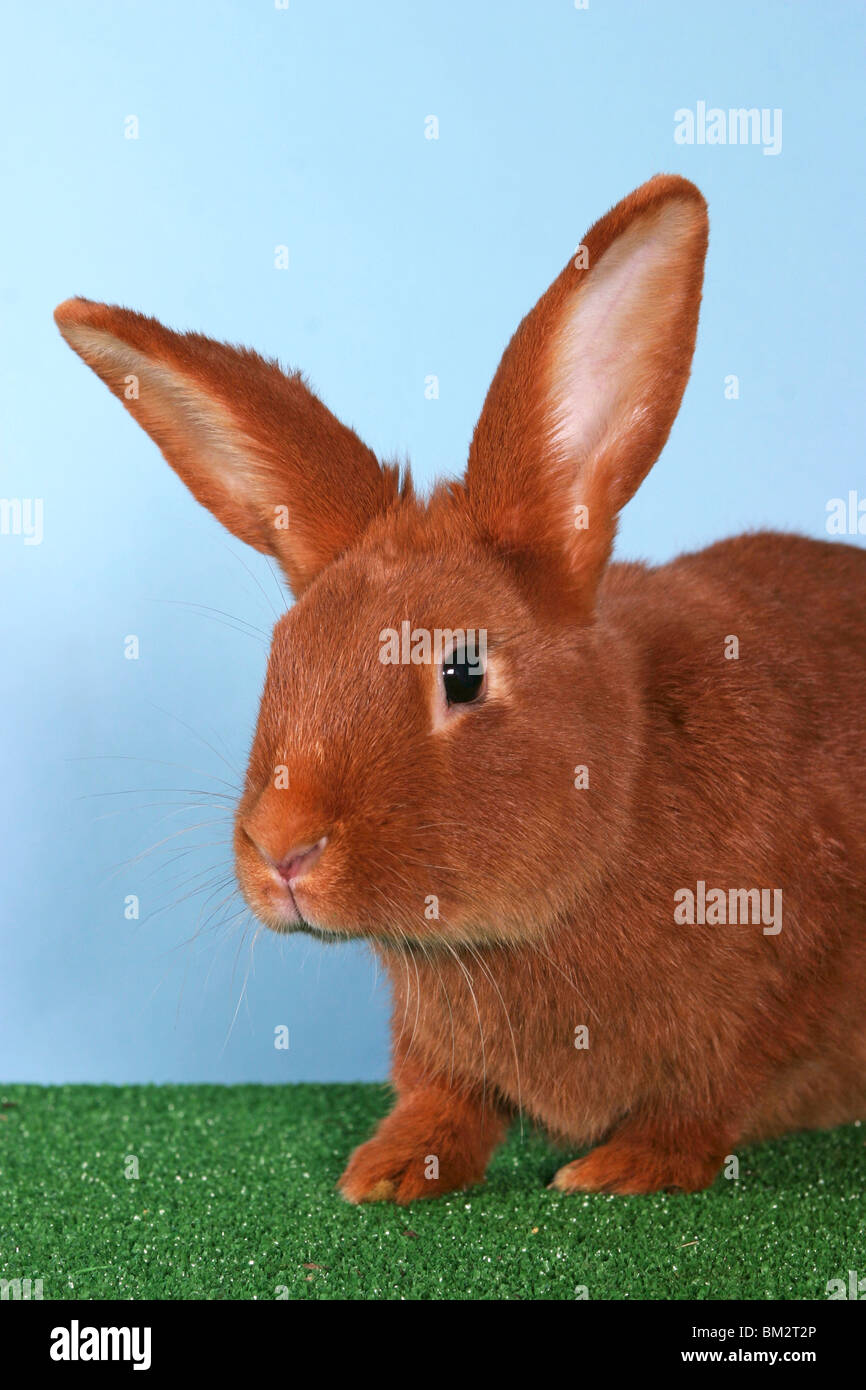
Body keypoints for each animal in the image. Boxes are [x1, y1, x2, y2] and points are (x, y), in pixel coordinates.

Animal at [55, 174, 866, 1202]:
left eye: (464, 672)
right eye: (284, 652)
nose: (282, 851)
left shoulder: (773, 1000)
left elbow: (701, 1108)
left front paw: (620, 1170)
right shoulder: (435, 1046)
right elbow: (443, 1101)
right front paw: (389, 1172)